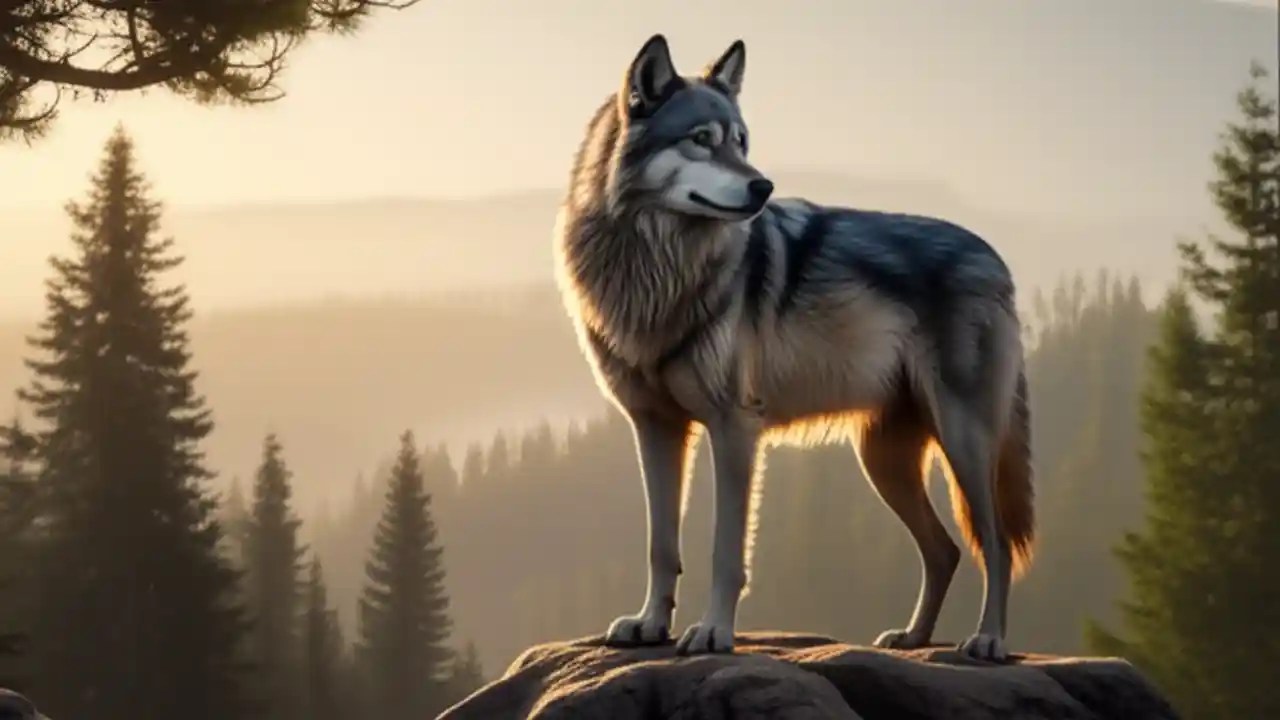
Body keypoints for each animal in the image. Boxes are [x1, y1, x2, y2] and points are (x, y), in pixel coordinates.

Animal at [553, 34, 1034, 661]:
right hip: (883, 462)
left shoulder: (735, 428)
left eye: (741, 141)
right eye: (701, 139)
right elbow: (662, 545)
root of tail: (998, 262)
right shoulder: (655, 428)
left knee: (995, 544)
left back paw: (988, 640)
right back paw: (912, 637)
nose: (763, 186)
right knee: (945, 549)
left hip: (963, 444)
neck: (658, 265)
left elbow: (725, 550)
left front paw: (713, 633)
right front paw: (650, 625)